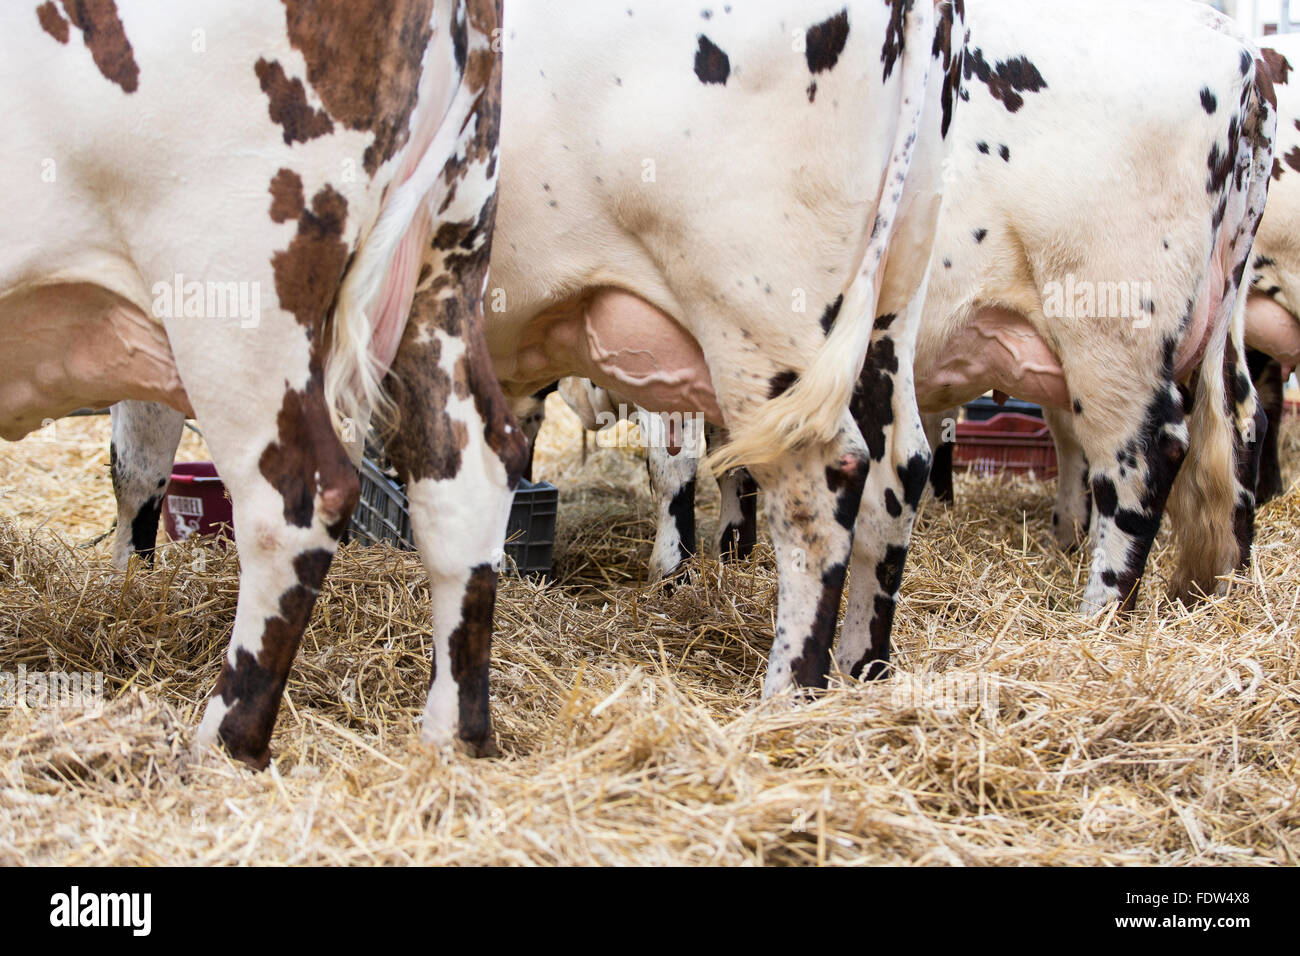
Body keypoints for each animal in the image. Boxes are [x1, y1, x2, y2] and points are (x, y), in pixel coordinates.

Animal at [2, 1, 524, 765]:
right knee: (467, 474)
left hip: (234, 291)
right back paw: (452, 740)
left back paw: (223, 746)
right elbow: (137, 467)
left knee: (297, 498)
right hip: (447, 262)